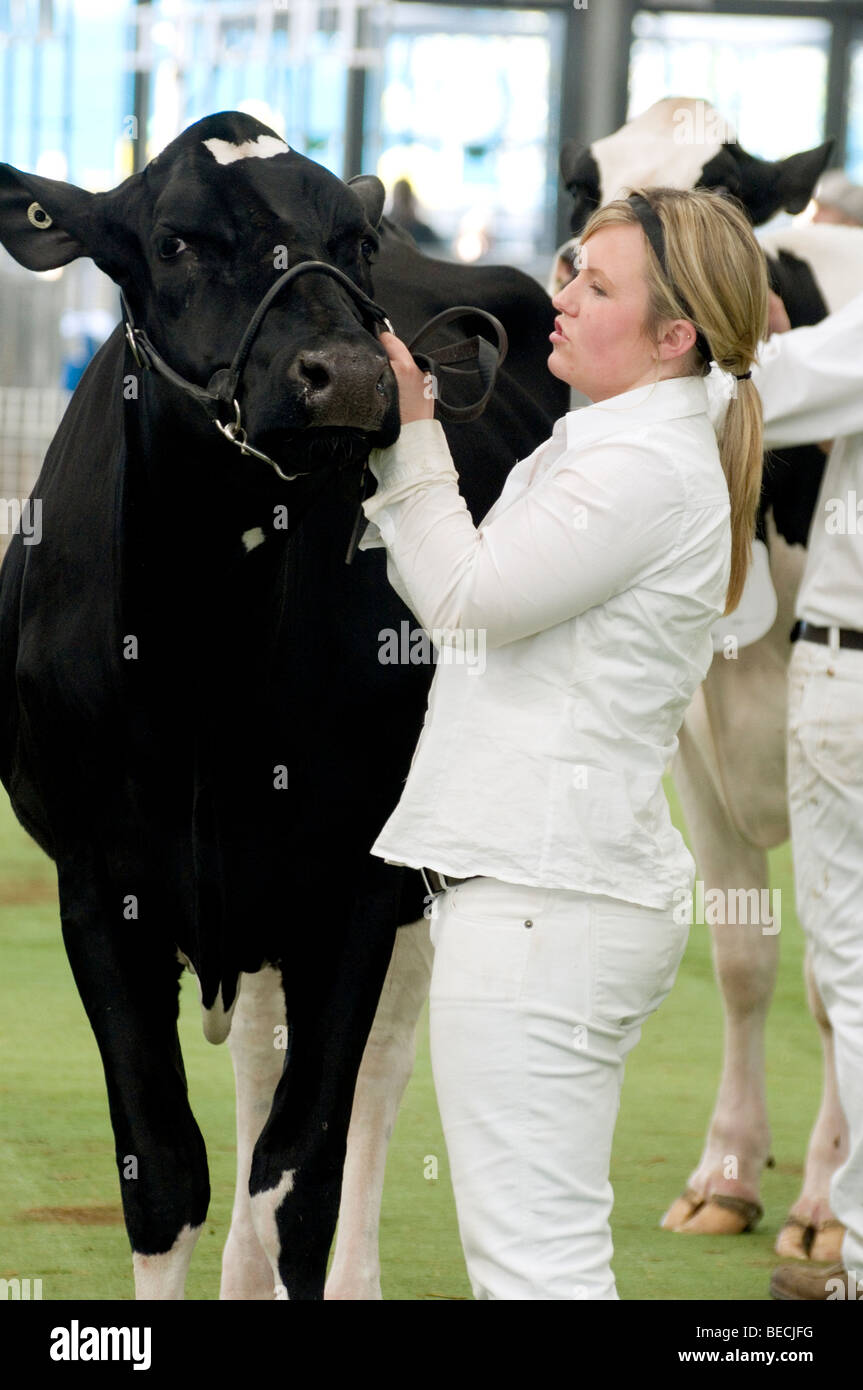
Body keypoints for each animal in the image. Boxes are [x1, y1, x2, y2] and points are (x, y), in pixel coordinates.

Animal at [0, 109, 567, 1300]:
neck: (206, 672)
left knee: (376, 1076)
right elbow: (164, 1175)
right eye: (173, 240)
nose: (347, 372)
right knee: (263, 1063)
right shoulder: (97, 885)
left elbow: (299, 1174)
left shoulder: (356, 875)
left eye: (353, 242)